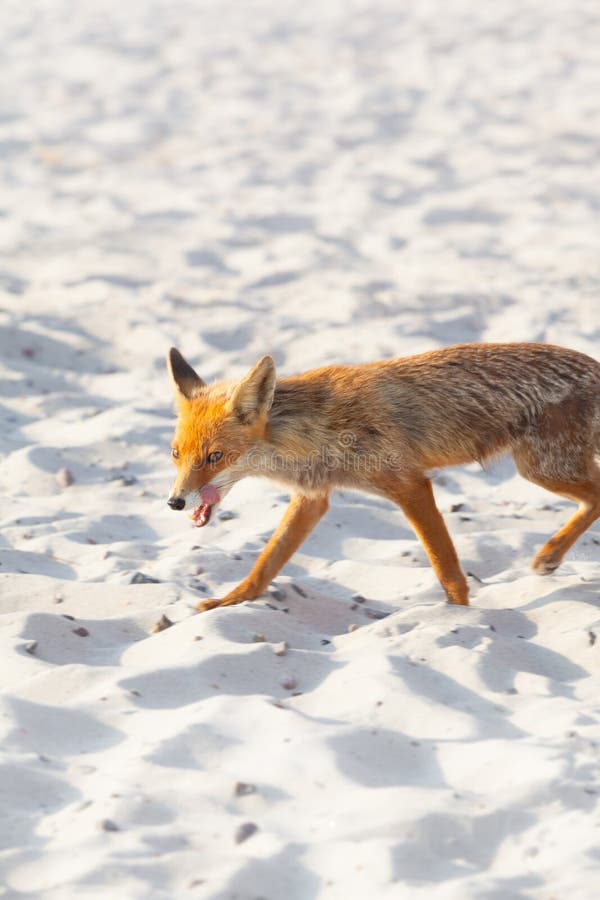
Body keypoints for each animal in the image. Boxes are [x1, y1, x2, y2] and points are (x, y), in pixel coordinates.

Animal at [166, 342, 600, 612]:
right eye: (175, 454)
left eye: (215, 456)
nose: (175, 502)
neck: (313, 432)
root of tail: (594, 365)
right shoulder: (313, 497)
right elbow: (265, 565)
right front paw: (230, 601)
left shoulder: (411, 485)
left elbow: (447, 571)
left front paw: (462, 617)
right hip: (547, 468)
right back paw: (552, 556)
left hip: (541, 468)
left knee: (594, 496)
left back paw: (549, 555)